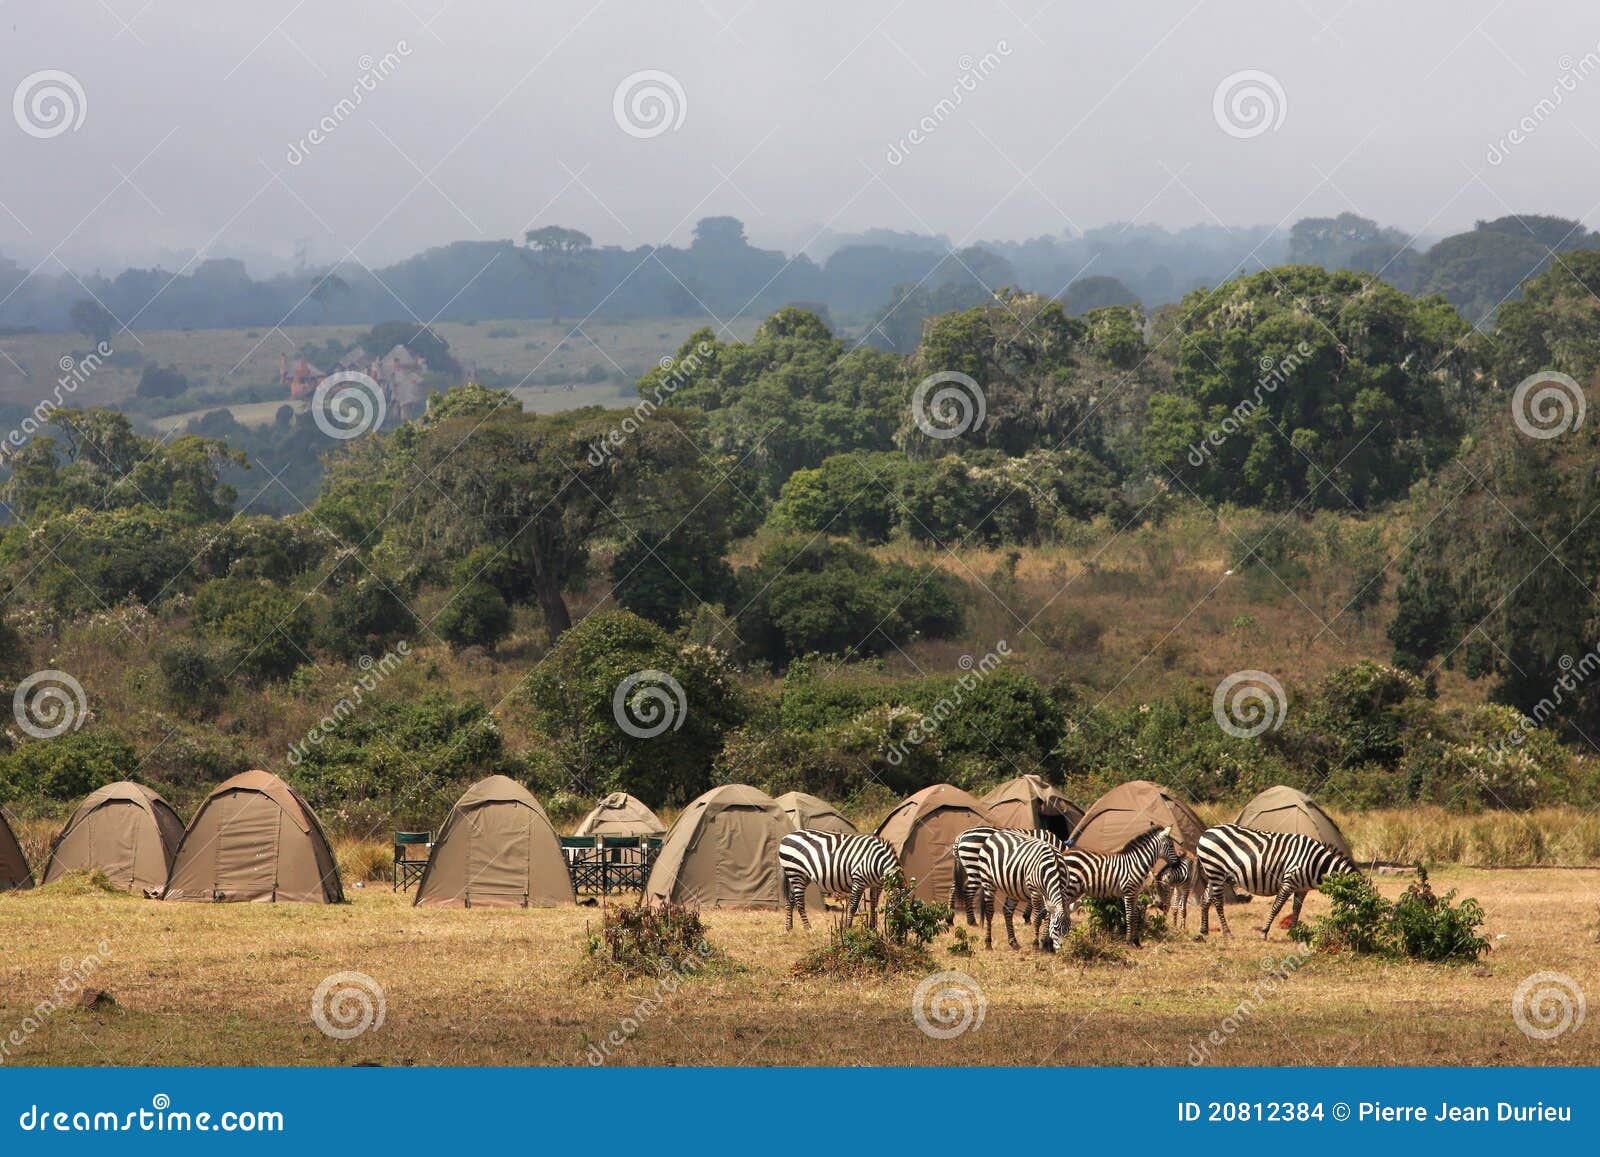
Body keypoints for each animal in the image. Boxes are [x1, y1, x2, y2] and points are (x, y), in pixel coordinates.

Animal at [1196, 824, 1359, 940]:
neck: (1317, 863)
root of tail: (1206, 832)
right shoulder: (1289, 882)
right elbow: (1277, 907)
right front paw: (1264, 932)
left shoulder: (1302, 888)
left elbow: (1296, 909)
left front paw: (1294, 932)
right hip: (1215, 871)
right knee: (1218, 903)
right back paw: (1227, 933)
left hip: (1215, 874)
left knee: (1205, 899)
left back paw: (1204, 930)